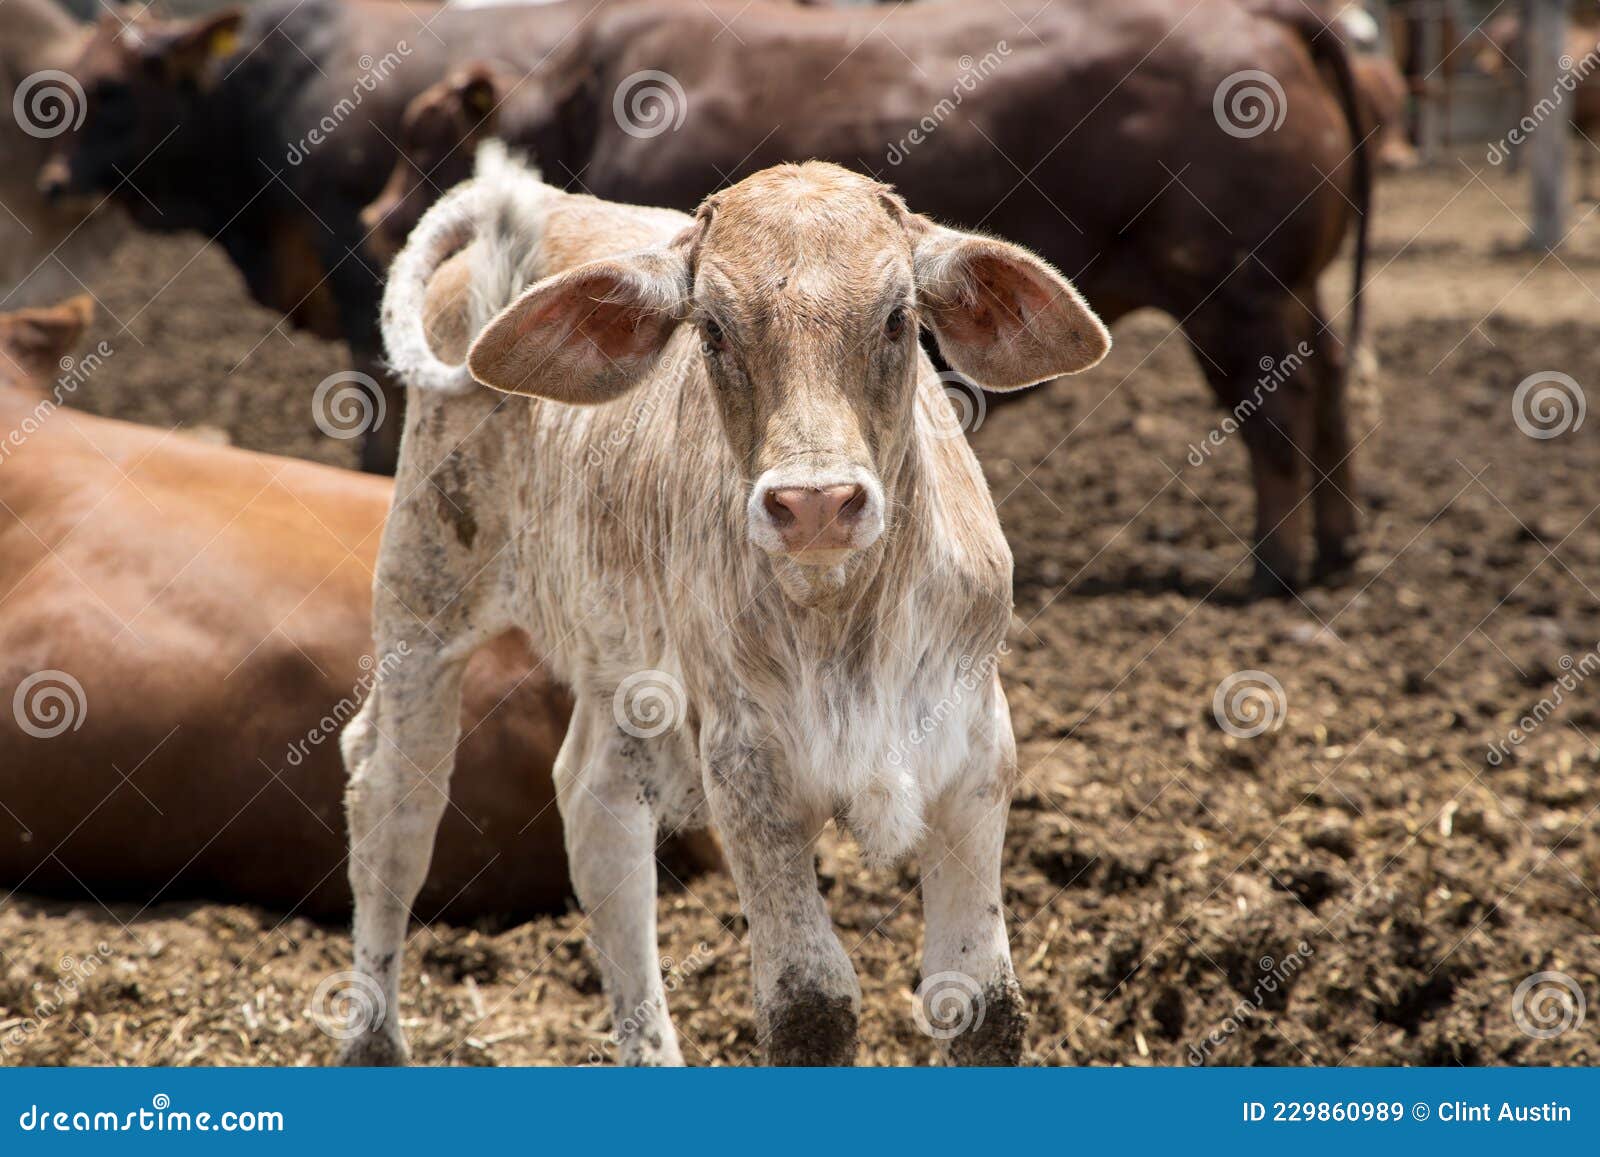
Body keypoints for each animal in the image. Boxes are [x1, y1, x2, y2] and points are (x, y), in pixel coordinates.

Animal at [338, 143, 1110, 1066]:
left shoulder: (976, 748)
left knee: (596, 810)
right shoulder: (747, 767)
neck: (842, 620)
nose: (816, 503)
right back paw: (372, 1039)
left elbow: (983, 1003)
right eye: (711, 328)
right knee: (393, 794)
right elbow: (812, 1002)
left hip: (622, 662)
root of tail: (536, 203)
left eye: (898, 319)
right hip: (421, 592)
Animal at [357, 0, 1372, 597]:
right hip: (1290, 295)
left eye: (432, 142)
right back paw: (1336, 547)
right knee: (1329, 387)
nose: (377, 215)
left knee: (1280, 408)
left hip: (1239, 298)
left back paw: (1274, 565)